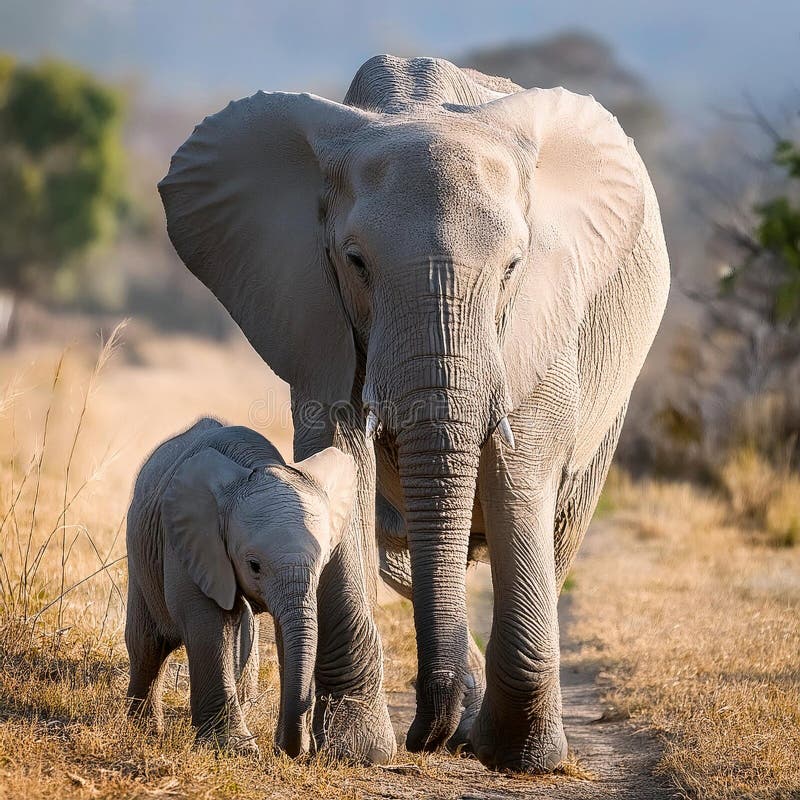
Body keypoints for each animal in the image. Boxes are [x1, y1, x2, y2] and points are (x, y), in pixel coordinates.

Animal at [124, 417, 378, 759]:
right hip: (139, 550)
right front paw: (236, 750)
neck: (255, 464)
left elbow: (288, 630)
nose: (294, 750)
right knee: (149, 643)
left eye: (324, 560)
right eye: (254, 565)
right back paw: (144, 729)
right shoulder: (189, 538)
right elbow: (206, 621)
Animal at [158, 54, 669, 772]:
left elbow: (519, 473)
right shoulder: (317, 316)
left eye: (513, 267)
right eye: (356, 263)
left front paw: (521, 759)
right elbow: (340, 460)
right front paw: (354, 752)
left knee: (560, 528)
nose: (420, 737)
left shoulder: (543, 321)